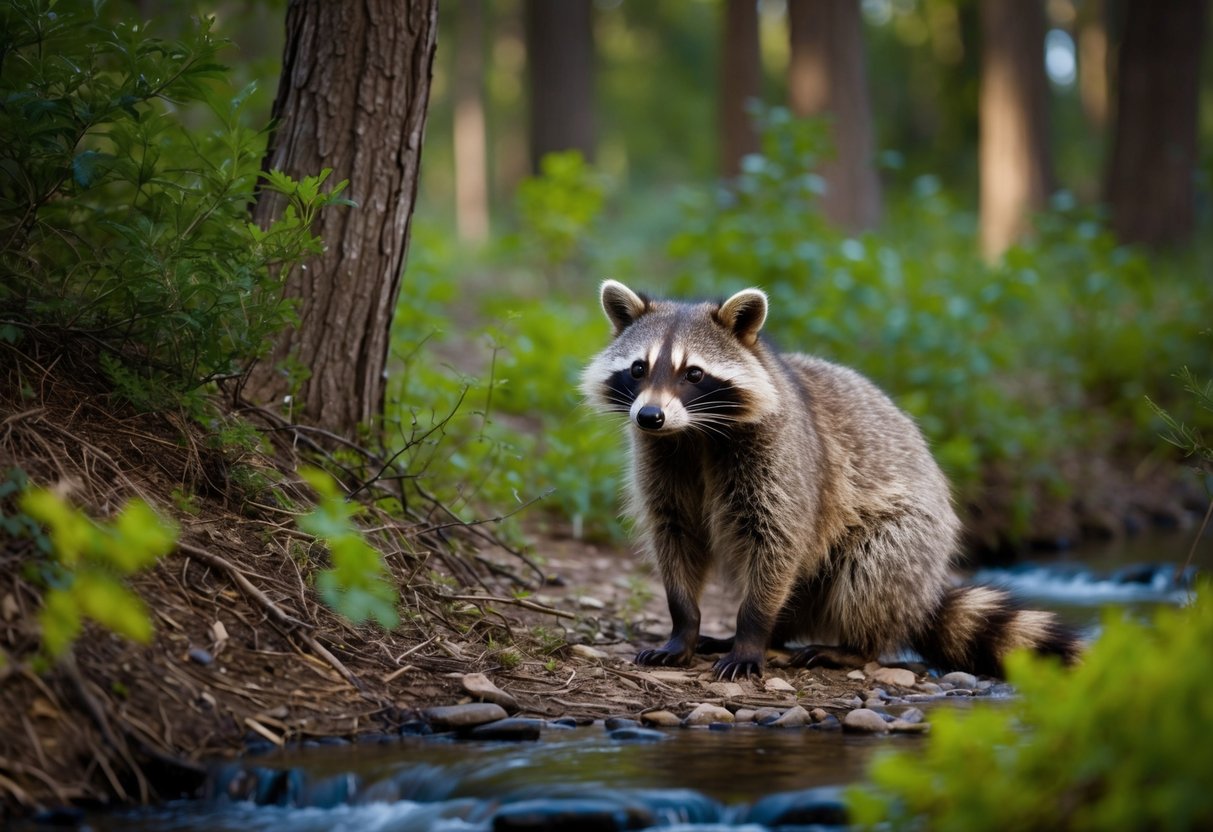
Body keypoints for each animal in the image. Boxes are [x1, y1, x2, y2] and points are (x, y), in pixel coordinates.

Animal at [581, 279, 1080, 680]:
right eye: (639, 368)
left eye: (694, 373)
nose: (649, 416)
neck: (695, 433)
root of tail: (921, 598)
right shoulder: (662, 459)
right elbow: (674, 535)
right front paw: (683, 627)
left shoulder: (783, 460)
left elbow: (778, 541)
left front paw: (751, 632)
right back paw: (777, 635)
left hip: (914, 537)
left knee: (873, 568)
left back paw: (852, 647)